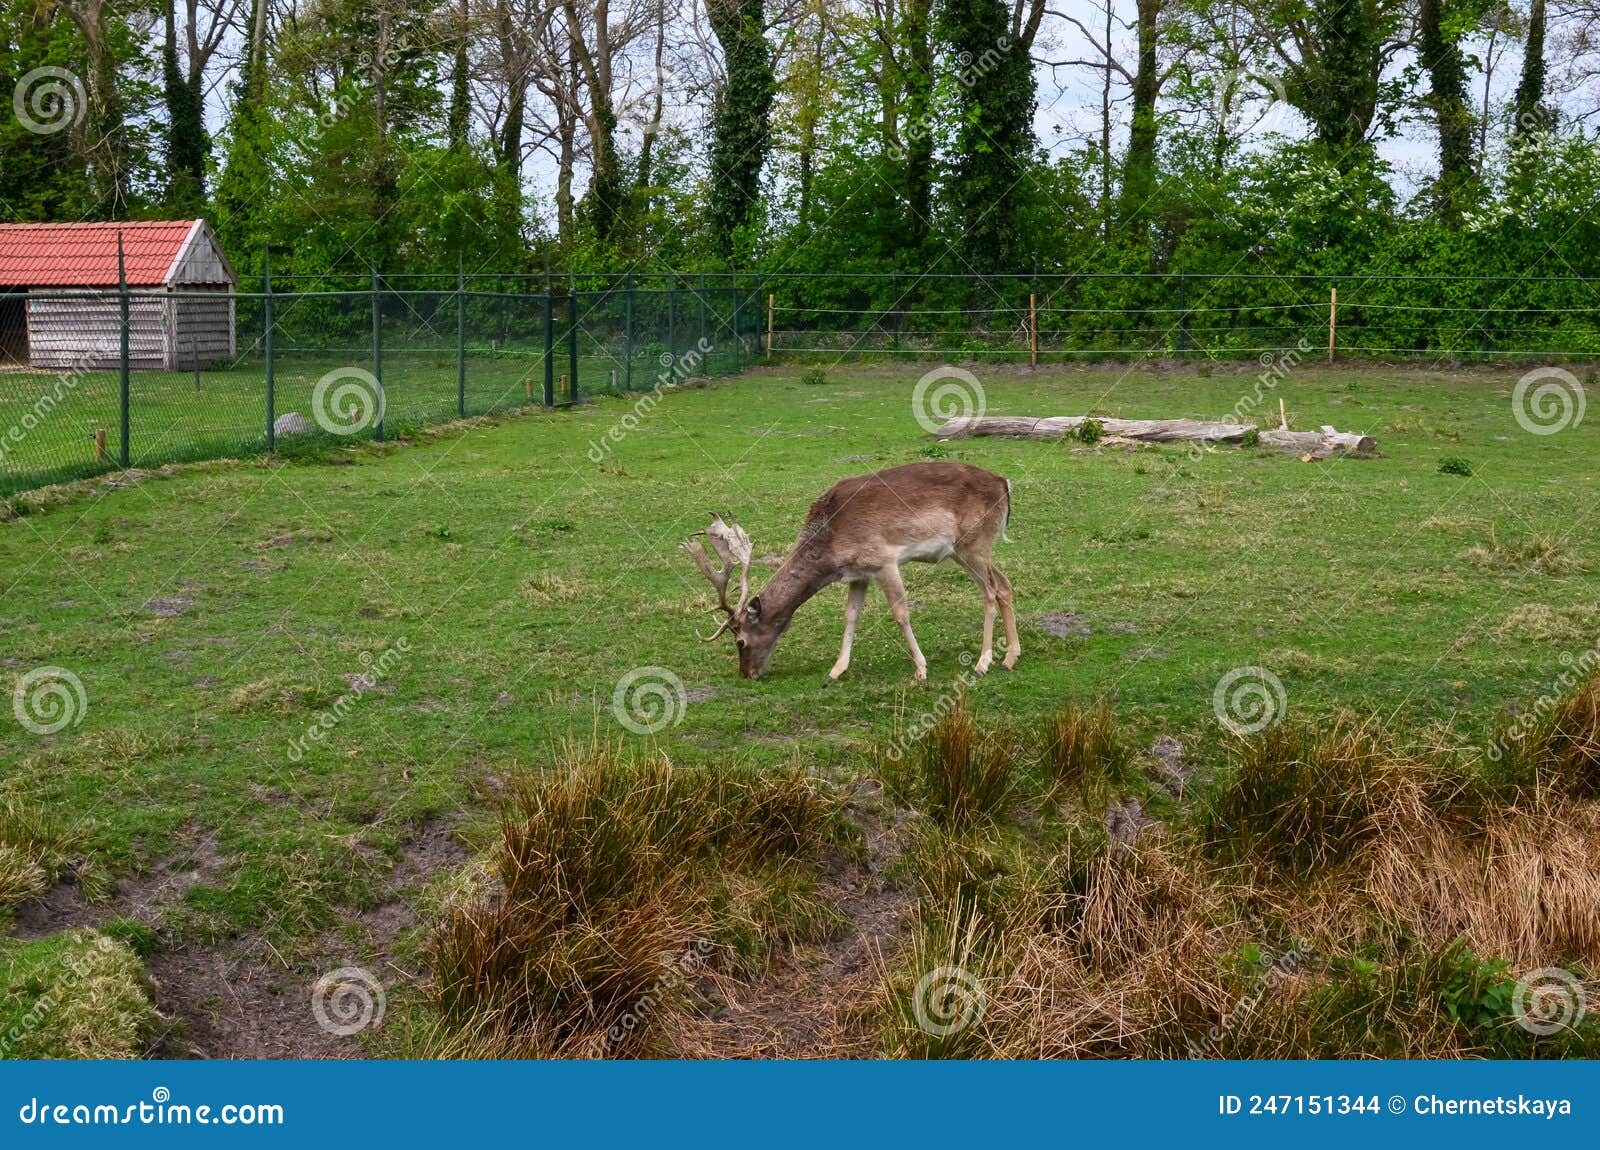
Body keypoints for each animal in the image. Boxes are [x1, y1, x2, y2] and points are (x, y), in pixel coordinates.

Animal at [683, 461, 1019, 682]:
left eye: (740, 641)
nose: (746, 674)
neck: (832, 543)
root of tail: (1004, 483)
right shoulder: (860, 573)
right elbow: (851, 614)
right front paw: (835, 671)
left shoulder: (884, 561)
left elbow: (901, 613)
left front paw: (921, 669)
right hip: (964, 551)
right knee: (1003, 584)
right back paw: (1011, 657)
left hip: (974, 544)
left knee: (989, 591)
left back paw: (983, 662)